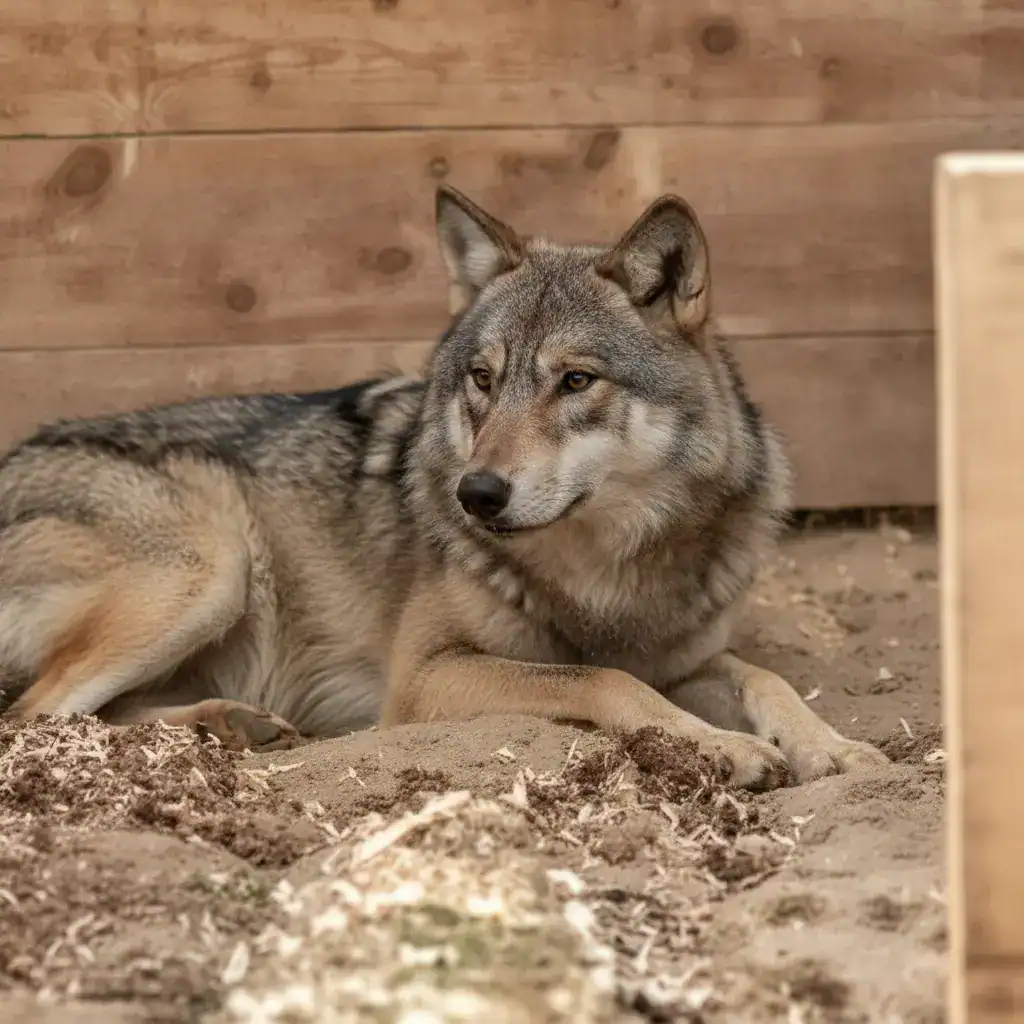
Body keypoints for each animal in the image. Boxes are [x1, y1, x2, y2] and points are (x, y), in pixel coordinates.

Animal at [0, 185, 887, 789]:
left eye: (575, 381)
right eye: (482, 381)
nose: (477, 494)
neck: (606, 578)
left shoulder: (690, 657)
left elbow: (766, 678)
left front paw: (835, 747)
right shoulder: (425, 675)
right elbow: (603, 678)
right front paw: (722, 748)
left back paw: (235, 725)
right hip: (213, 568)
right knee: (34, 718)